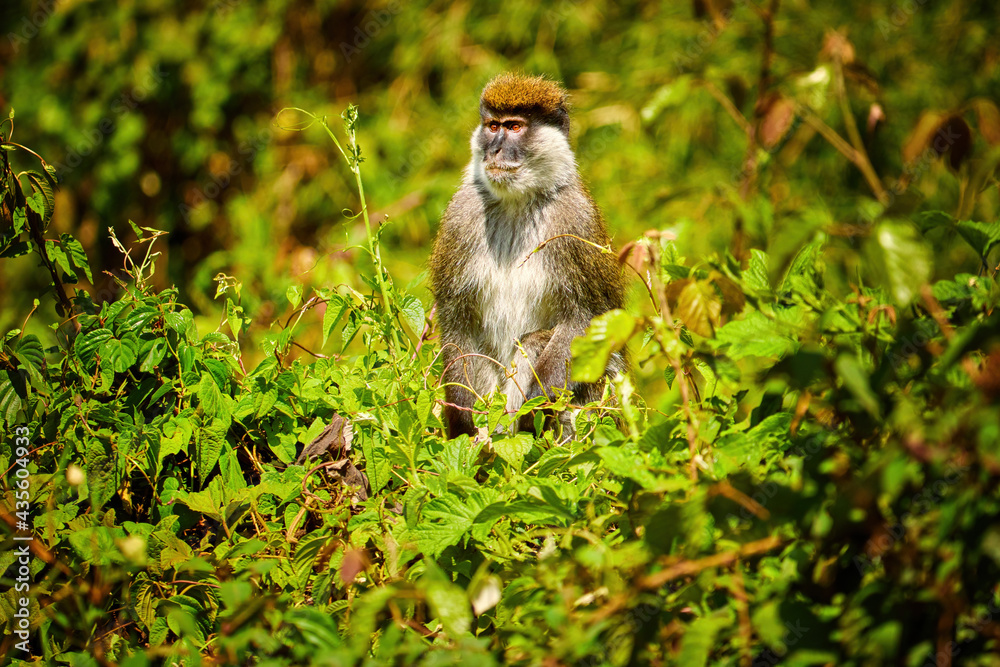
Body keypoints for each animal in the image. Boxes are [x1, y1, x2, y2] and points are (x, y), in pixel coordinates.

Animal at [429, 72, 627, 439]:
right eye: (493, 126)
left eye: (515, 127)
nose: (494, 150)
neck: (516, 202)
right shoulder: (460, 217)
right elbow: (457, 321)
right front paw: (461, 418)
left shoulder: (574, 221)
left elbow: (589, 319)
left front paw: (535, 404)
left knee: (535, 342)